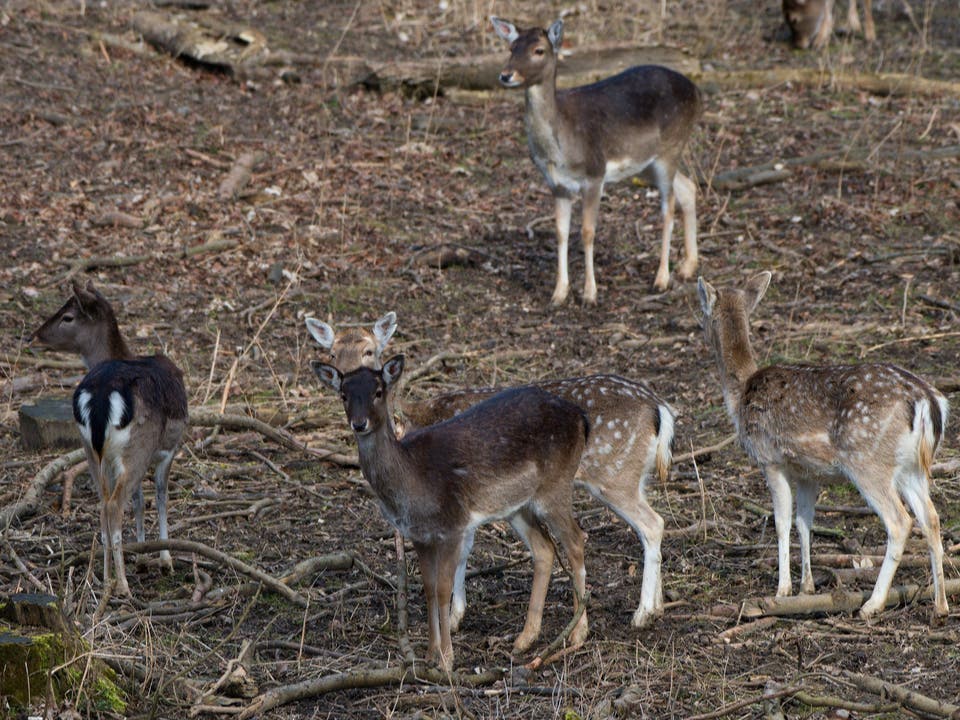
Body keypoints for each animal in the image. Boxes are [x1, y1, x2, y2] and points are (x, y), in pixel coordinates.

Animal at [33, 281, 188, 597]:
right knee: (115, 505)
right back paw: (123, 586)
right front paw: (164, 559)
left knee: (103, 506)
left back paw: (106, 580)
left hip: (92, 452)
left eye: (67, 316)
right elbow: (160, 496)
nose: (35, 335)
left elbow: (140, 500)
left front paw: (141, 554)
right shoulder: (168, 450)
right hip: (137, 447)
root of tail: (102, 395)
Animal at [312, 315, 675, 631]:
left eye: (369, 350)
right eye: (332, 353)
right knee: (653, 523)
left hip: (614, 475)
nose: (345, 381)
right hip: (633, 477)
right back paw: (657, 607)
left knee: (651, 523)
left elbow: (463, 551)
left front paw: (455, 616)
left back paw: (642, 614)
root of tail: (660, 409)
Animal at [313, 355, 590, 671]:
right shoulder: (419, 535)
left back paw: (578, 632)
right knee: (544, 548)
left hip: (556, 486)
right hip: (518, 505)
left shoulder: (453, 526)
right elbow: (429, 588)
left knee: (576, 540)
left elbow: (445, 589)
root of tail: (581, 418)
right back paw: (525, 639)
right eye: (343, 395)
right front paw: (430, 654)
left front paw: (447, 658)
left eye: (378, 392)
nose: (359, 424)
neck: (412, 485)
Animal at [490, 16, 702, 304]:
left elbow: (587, 232)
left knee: (668, 207)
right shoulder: (557, 185)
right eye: (511, 47)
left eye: (539, 50)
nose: (506, 75)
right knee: (688, 187)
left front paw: (589, 293)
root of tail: (697, 92)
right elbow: (561, 232)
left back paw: (661, 279)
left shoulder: (594, 173)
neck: (559, 150)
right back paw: (688, 266)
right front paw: (559, 293)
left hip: (670, 149)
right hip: (646, 163)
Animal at [698, 272, 949, 619]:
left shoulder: (770, 459)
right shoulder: (808, 473)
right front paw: (807, 587)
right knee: (932, 518)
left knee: (901, 522)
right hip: (913, 468)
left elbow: (781, 522)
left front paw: (782, 590)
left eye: (703, 315)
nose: (700, 334)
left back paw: (872, 604)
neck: (741, 394)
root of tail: (928, 401)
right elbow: (804, 522)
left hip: (867, 461)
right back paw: (941, 605)